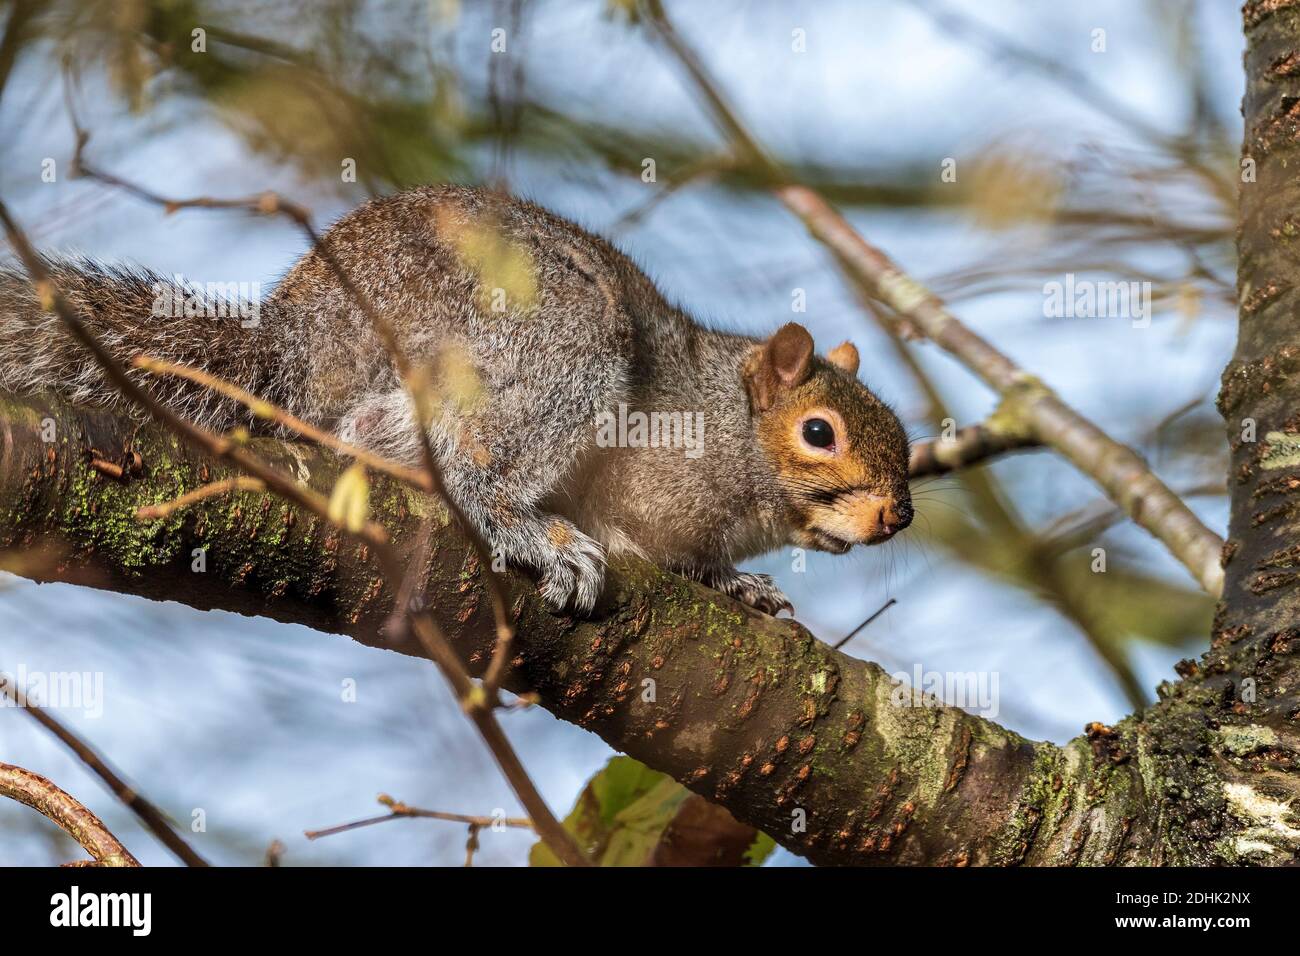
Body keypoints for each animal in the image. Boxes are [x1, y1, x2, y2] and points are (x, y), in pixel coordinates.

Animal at [0, 185, 913, 614]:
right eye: (819, 432)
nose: (897, 515)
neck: (730, 437)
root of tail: (305, 340)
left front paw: (740, 587)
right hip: (554, 341)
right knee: (449, 456)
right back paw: (530, 530)